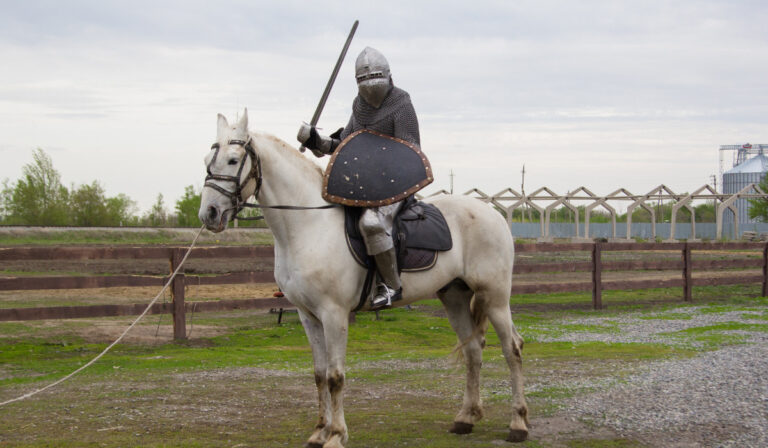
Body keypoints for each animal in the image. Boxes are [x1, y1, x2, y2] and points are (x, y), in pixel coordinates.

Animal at [198, 110, 529, 448]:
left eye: (233, 160)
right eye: (208, 160)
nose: (208, 213)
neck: (308, 224)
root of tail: (494, 214)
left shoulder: (333, 314)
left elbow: (335, 376)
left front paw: (335, 435)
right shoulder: (308, 316)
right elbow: (319, 374)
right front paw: (319, 431)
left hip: (495, 297)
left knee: (512, 349)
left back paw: (518, 423)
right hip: (455, 296)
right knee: (473, 350)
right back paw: (466, 417)